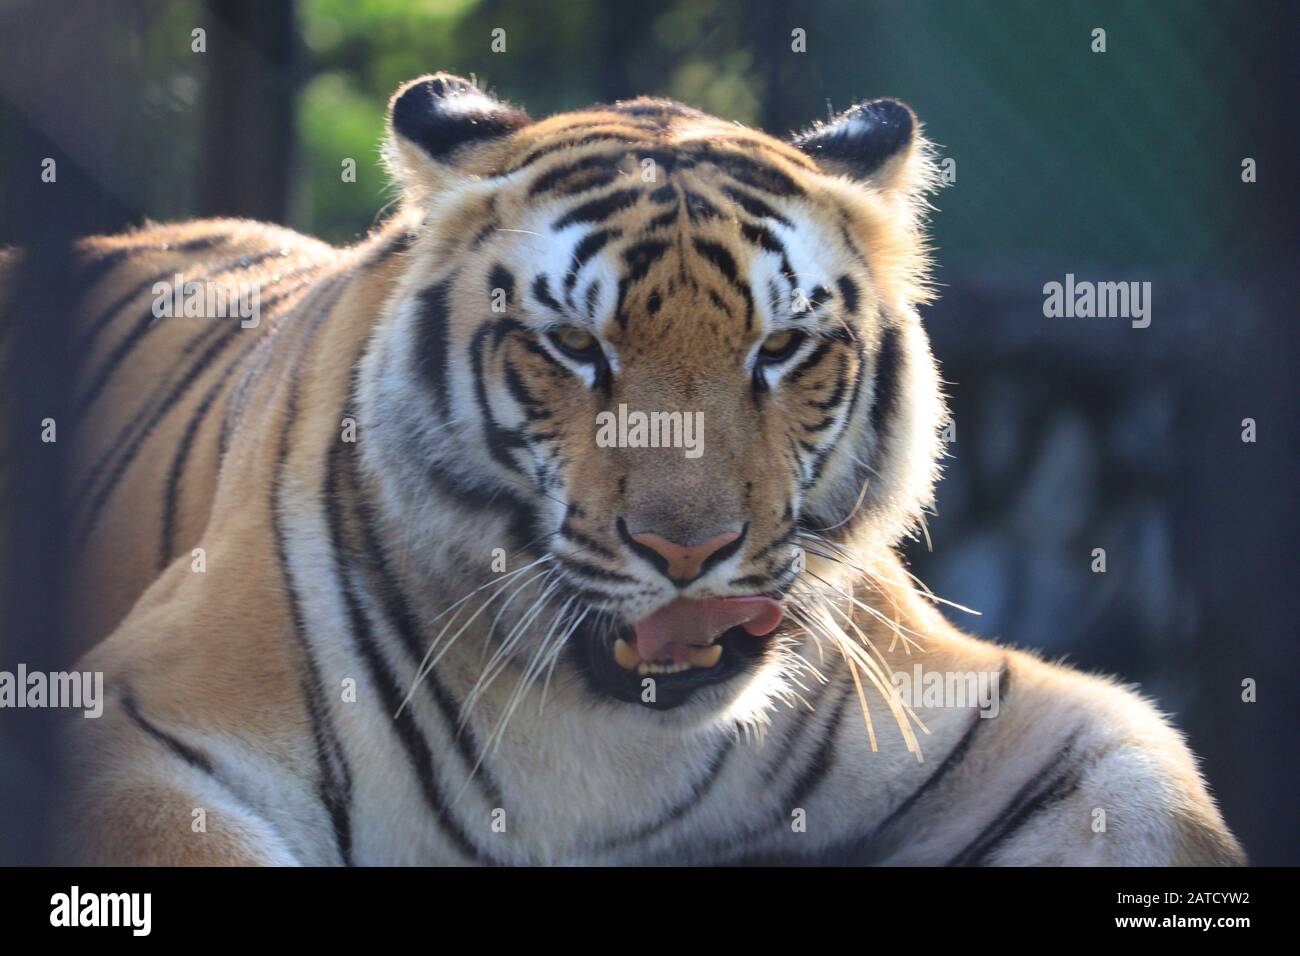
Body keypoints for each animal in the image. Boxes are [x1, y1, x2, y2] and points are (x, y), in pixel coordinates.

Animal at [46, 73, 1242, 865]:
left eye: (780, 348)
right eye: (576, 347)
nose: (688, 549)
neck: (606, 734)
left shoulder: (1019, 713)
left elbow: (1159, 800)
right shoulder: (130, 727)